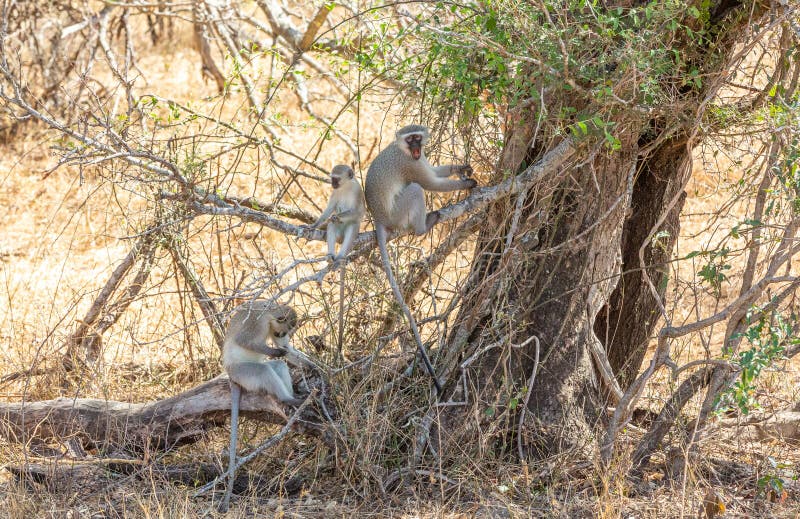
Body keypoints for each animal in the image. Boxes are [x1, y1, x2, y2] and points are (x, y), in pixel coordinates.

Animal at [307, 164, 365, 355]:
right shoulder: (335, 194)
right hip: (337, 235)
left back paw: (340, 257)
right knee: (332, 227)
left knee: (352, 225)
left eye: (336, 178)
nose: (331, 184)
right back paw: (331, 257)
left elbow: (359, 212)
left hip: (351, 231)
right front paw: (313, 225)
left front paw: (338, 216)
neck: (345, 187)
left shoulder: (358, 191)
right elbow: (328, 210)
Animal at [364, 124, 477, 395]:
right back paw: (423, 227)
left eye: (418, 137)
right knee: (416, 189)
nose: (416, 146)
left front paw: (459, 168)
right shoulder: (410, 165)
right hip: (398, 214)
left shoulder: (419, 159)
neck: (406, 152)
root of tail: (379, 219)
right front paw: (466, 181)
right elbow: (430, 183)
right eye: (409, 139)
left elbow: (434, 171)